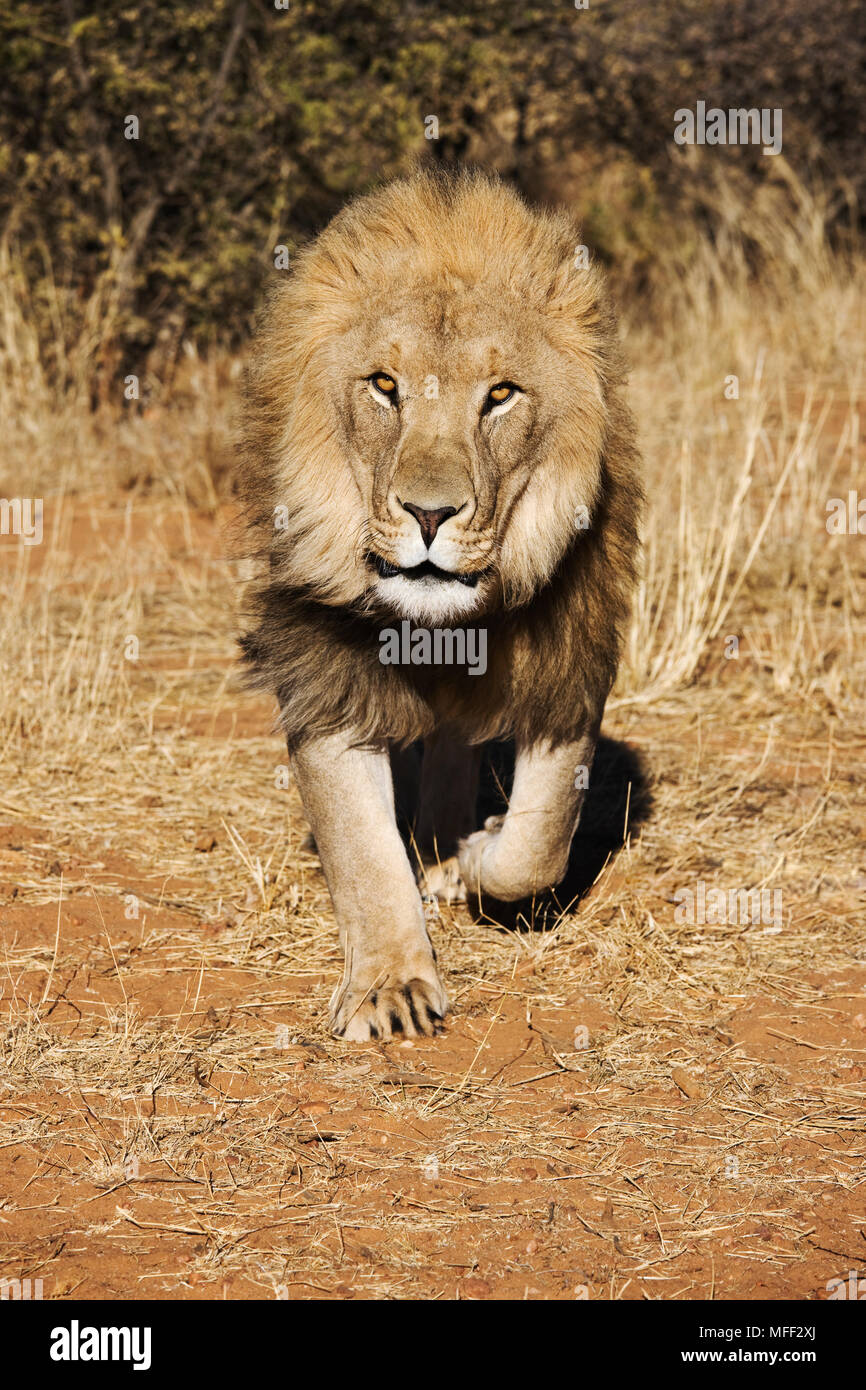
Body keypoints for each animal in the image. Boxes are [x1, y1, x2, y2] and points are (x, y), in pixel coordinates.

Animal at [238, 168, 642, 1041]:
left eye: (501, 395)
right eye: (384, 387)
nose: (429, 514)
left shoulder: (570, 656)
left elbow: (541, 839)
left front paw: (479, 857)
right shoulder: (330, 673)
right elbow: (361, 848)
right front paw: (389, 986)